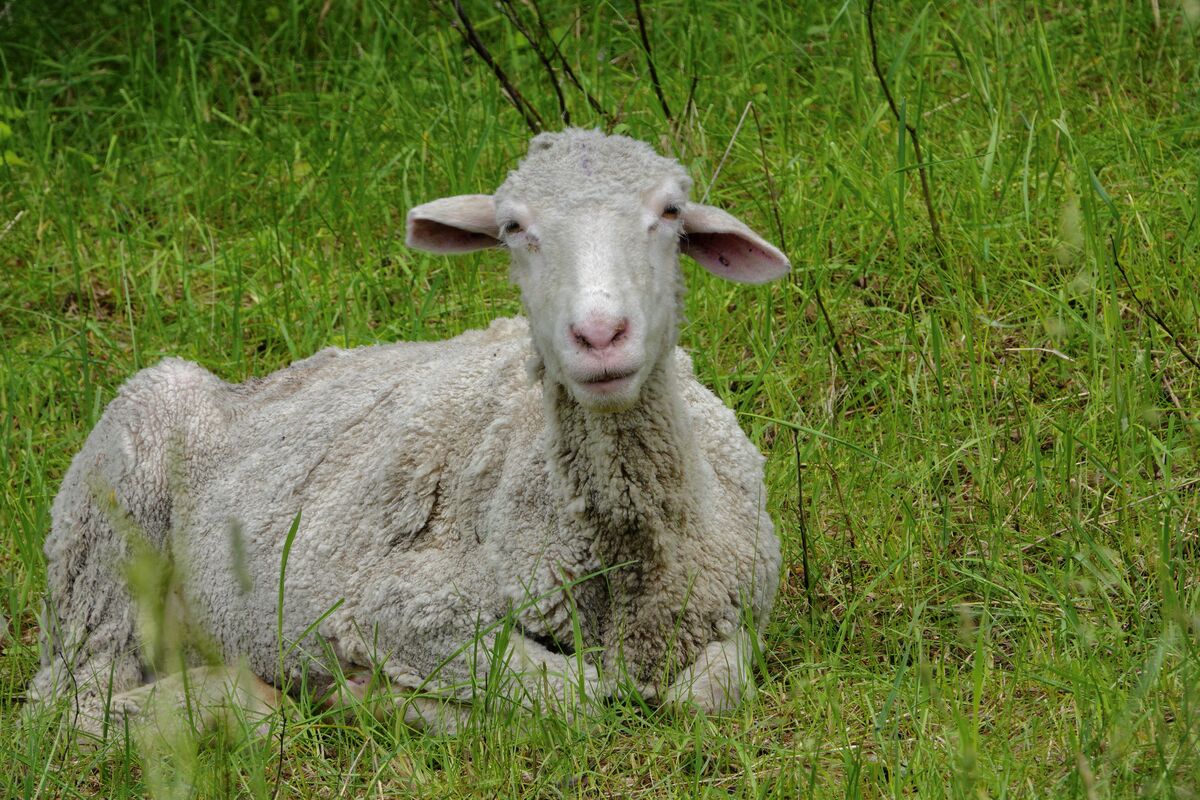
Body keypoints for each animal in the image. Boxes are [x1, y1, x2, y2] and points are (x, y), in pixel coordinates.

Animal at [28, 128, 789, 738]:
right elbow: (571, 698)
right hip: (104, 554)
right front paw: (374, 698)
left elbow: (708, 694)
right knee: (72, 705)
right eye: (513, 227)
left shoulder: (742, 605)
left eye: (671, 212)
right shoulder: (403, 609)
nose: (600, 336)